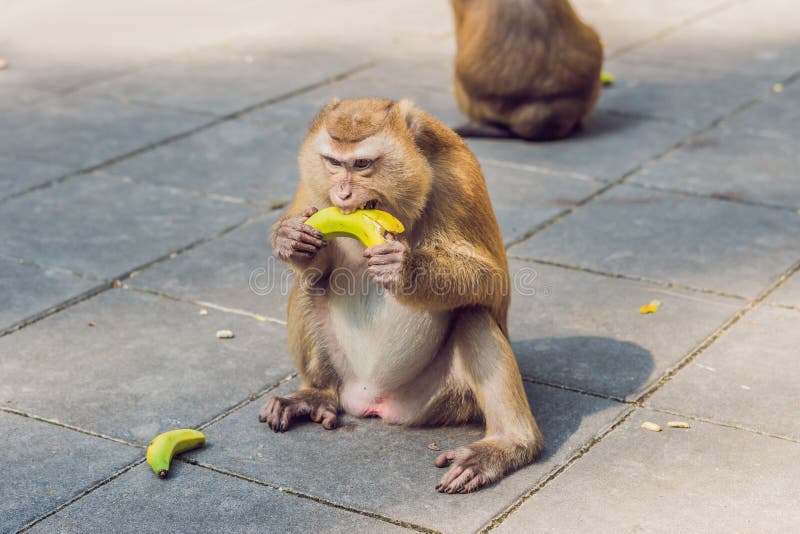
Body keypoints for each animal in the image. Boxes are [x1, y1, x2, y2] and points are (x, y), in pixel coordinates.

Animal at [259, 97, 543, 494]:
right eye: (333, 163)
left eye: (362, 164)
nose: (342, 194)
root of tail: (371, 399)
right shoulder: (314, 188)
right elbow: (313, 265)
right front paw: (292, 239)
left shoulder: (459, 180)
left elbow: (492, 282)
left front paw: (404, 269)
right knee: (307, 285)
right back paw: (317, 394)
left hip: (440, 398)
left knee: (472, 313)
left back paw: (508, 444)